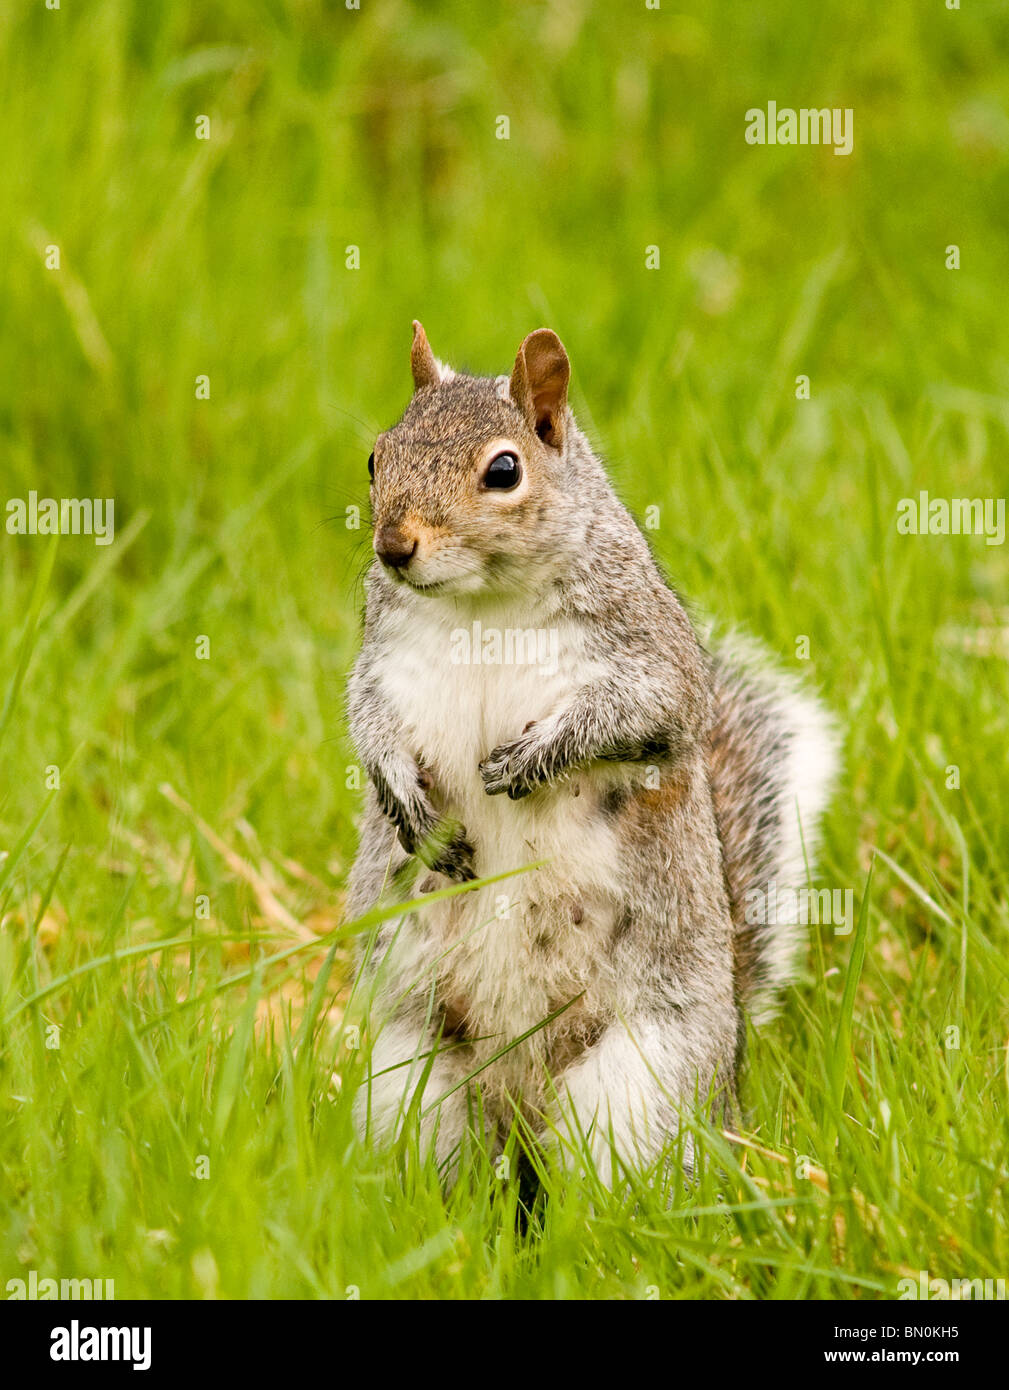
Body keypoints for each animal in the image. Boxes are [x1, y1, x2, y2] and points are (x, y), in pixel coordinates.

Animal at [346, 321, 840, 1184]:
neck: (481, 602)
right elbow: (367, 721)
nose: (393, 546)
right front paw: (401, 794)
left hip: (641, 1082)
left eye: (503, 471)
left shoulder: (650, 654)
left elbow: (647, 709)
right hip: (405, 1076)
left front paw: (536, 757)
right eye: (377, 456)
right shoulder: (383, 662)